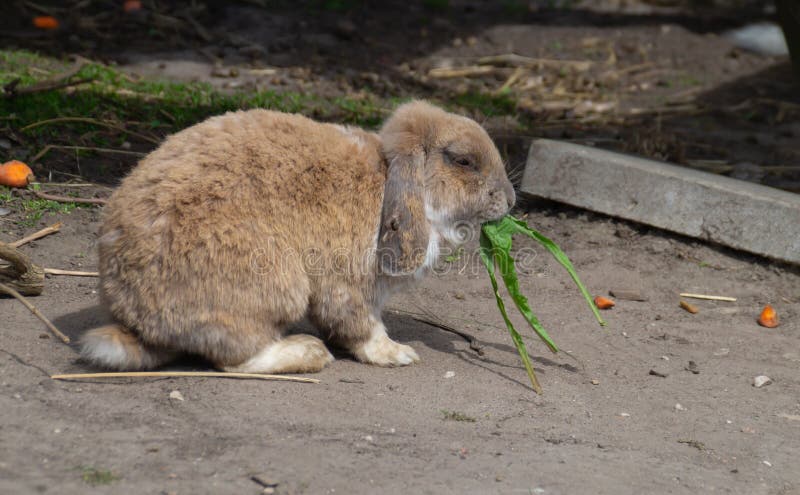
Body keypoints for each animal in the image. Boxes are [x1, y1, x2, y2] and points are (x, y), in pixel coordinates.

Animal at [81, 100, 516, 374]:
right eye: (463, 161)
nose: (510, 199)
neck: (389, 181)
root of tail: (136, 318)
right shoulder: (347, 282)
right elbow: (361, 324)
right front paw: (397, 354)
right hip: (271, 281)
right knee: (234, 357)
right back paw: (309, 353)